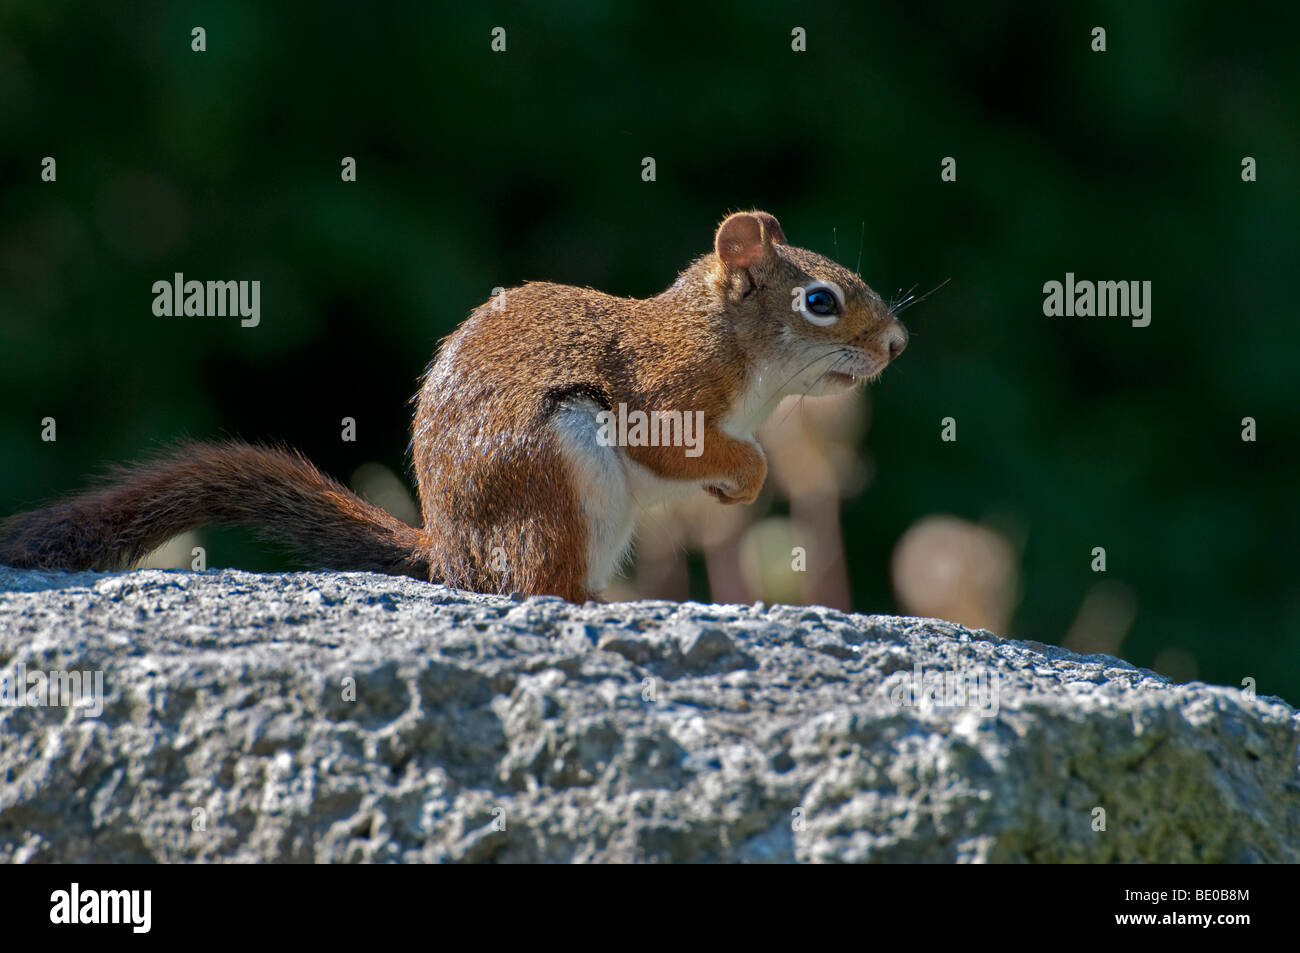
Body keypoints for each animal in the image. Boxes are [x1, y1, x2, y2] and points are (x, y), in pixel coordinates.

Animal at [0, 211, 907, 603]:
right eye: (821, 301)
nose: (896, 344)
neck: (727, 346)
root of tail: (451, 555)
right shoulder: (664, 390)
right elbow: (681, 448)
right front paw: (747, 474)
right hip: (551, 480)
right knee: (536, 585)